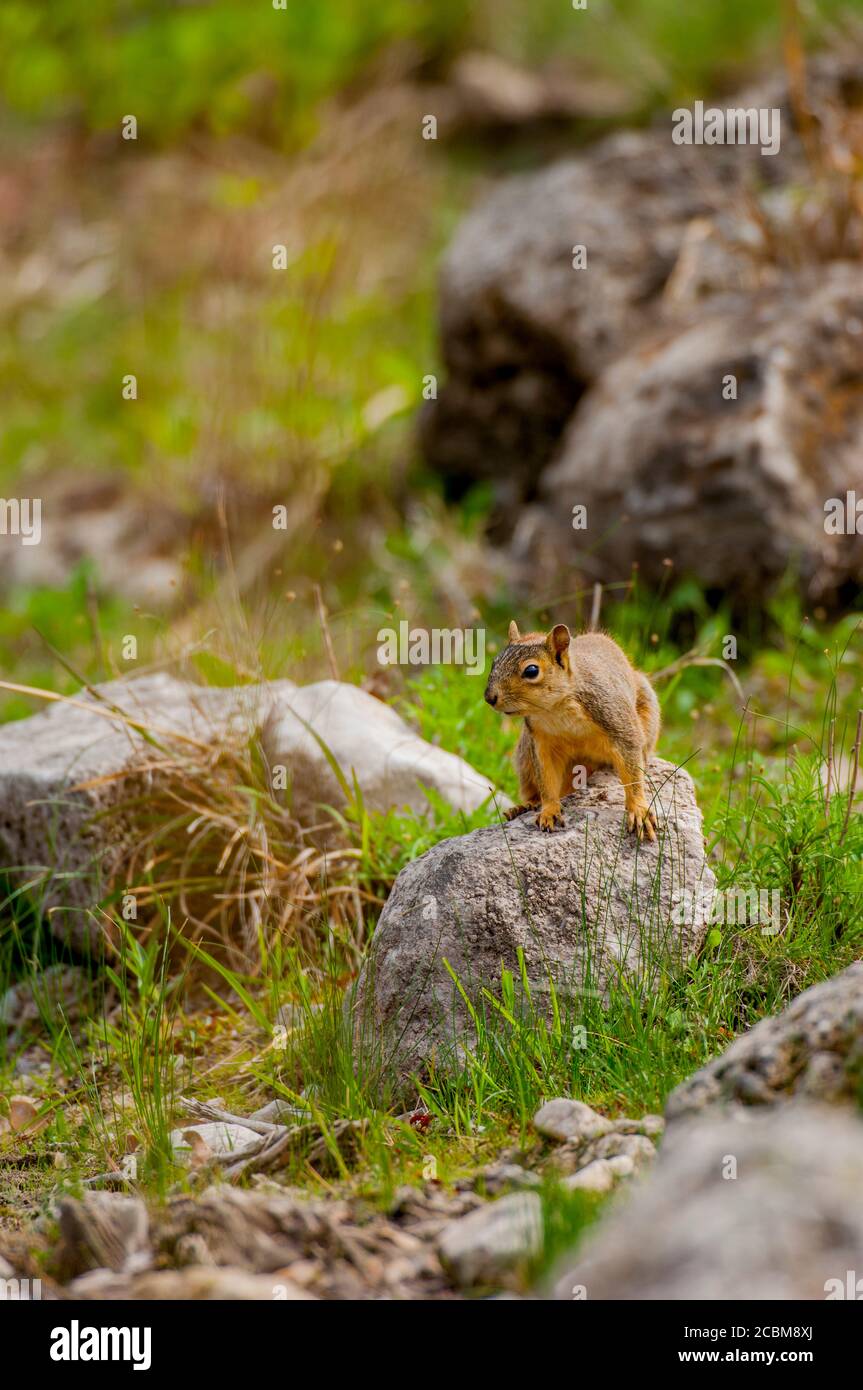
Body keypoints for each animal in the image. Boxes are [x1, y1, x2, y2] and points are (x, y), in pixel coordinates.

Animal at [484, 621, 660, 841]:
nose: (489, 697)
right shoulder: (541, 740)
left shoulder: (618, 722)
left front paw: (638, 810)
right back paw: (525, 806)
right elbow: (547, 779)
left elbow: (633, 772)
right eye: (494, 662)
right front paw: (549, 810)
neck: (556, 708)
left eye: (532, 671)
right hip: (525, 754)